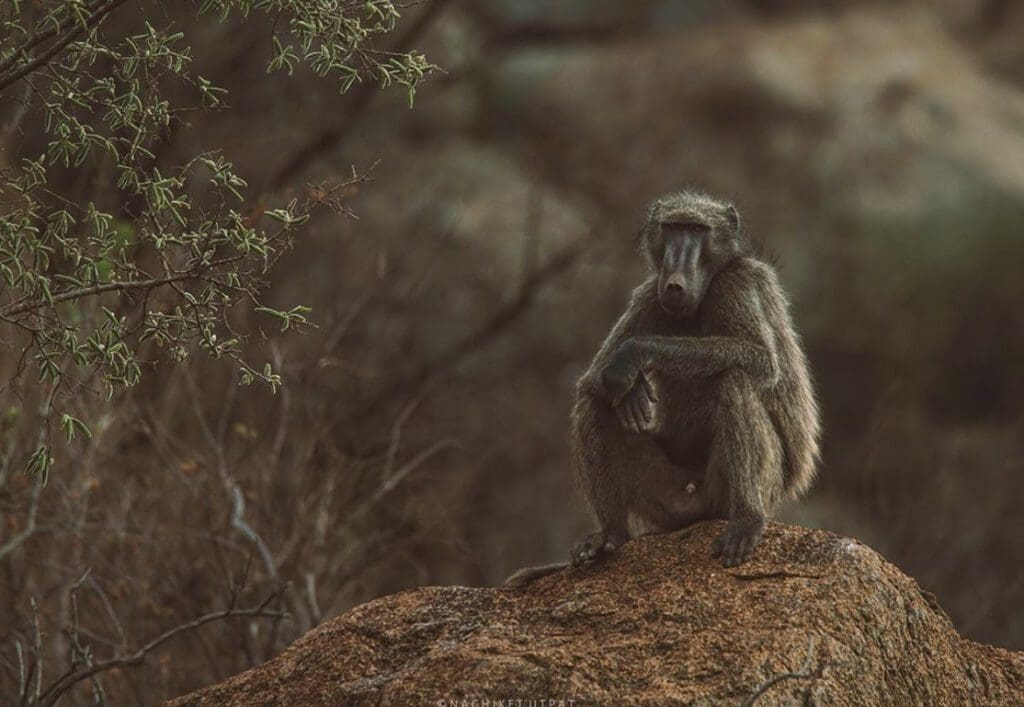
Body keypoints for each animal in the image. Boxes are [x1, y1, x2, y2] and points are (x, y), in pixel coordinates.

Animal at [505, 191, 820, 588]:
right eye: (672, 228)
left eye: (696, 230)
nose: (674, 283)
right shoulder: (647, 297)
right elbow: (594, 379)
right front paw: (630, 388)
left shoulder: (739, 283)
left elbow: (760, 359)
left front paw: (633, 355)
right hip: (663, 495)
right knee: (596, 402)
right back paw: (611, 535)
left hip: (735, 491)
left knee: (733, 378)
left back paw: (747, 519)